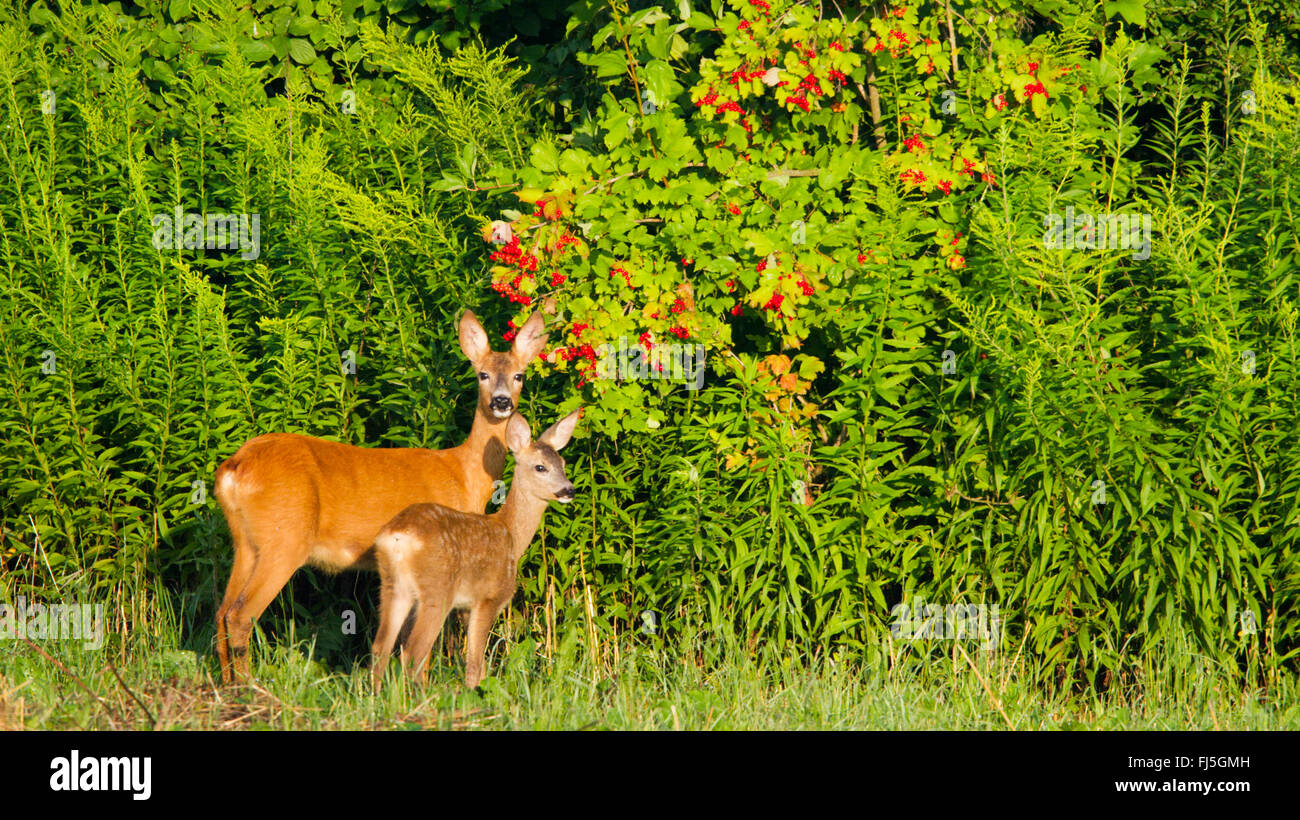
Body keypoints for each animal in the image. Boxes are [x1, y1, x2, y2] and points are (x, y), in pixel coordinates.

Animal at [210, 310, 546, 680]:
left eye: (519, 375)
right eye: (482, 373)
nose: (502, 402)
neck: (464, 475)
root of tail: (233, 469)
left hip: (245, 542)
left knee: (221, 612)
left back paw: (228, 683)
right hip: (284, 537)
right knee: (240, 614)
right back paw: (248, 685)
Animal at [374, 408, 582, 686]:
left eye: (563, 464)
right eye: (540, 467)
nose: (568, 490)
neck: (511, 535)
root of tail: (398, 537)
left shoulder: (467, 606)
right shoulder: (489, 597)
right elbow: (475, 664)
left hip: (393, 585)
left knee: (381, 647)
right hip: (437, 590)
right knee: (414, 652)